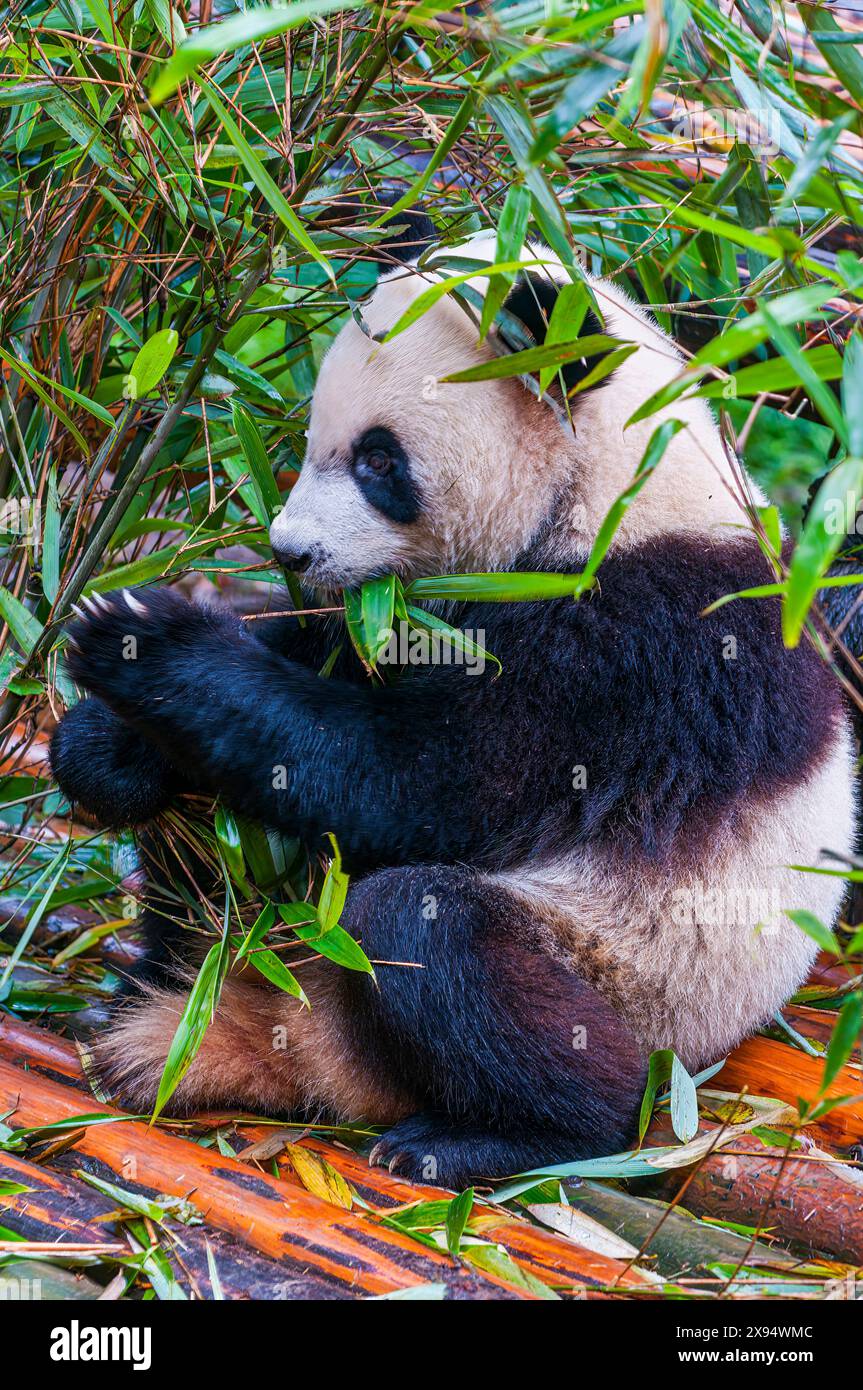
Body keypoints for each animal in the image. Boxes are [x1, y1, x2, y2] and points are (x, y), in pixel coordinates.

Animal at [50, 216, 857, 1187]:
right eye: (316, 436)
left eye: (378, 459)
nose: (289, 550)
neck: (610, 484)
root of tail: (302, 1039)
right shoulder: (405, 612)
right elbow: (325, 662)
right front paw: (103, 745)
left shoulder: (642, 645)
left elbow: (429, 783)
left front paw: (147, 643)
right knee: (212, 840)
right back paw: (154, 988)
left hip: (632, 976)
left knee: (440, 938)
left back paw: (497, 1135)